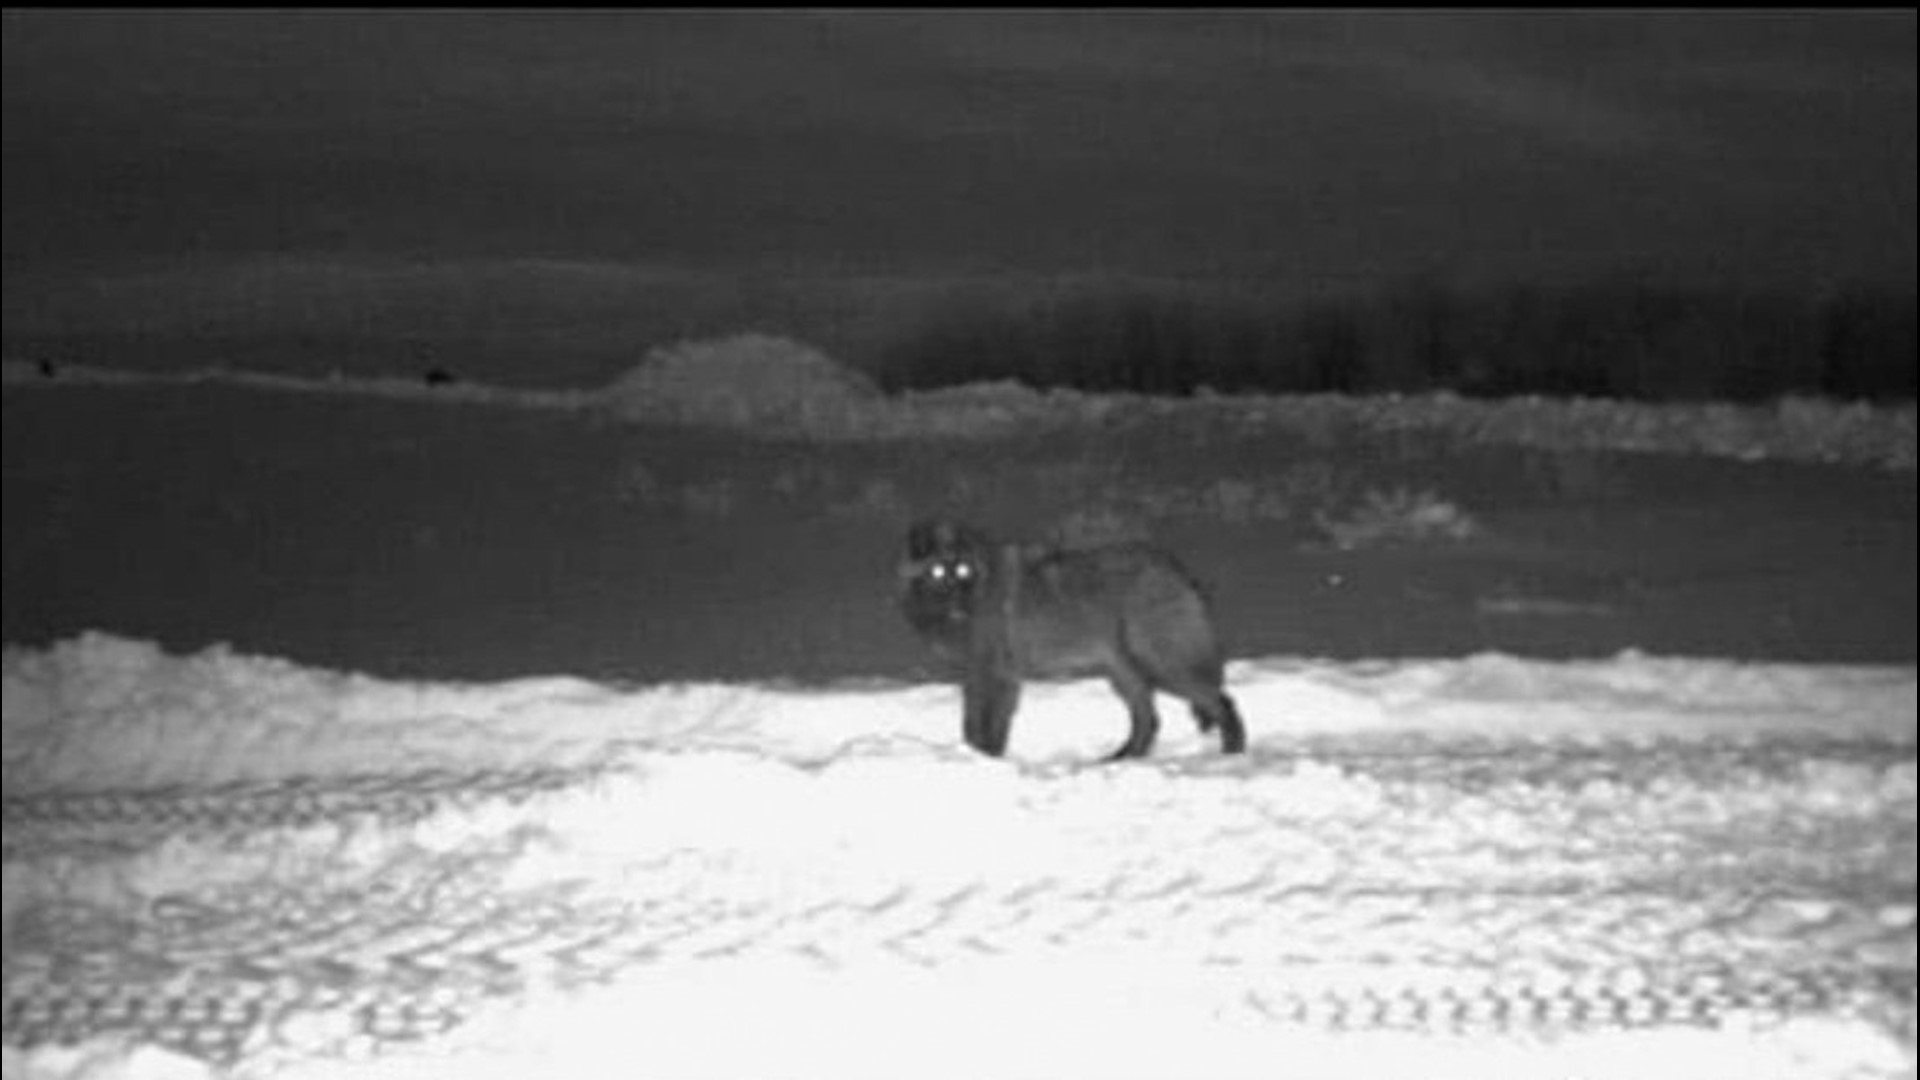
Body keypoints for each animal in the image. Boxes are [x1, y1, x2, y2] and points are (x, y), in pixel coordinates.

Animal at [898, 518, 1247, 761]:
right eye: (938, 573)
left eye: (963, 571)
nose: (956, 605)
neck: (981, 590)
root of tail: (1175, 566)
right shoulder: (974, 676)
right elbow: (970, 724)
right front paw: (975, 755)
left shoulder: (999, 676)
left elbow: (991, 728)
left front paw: (989, 760)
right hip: (1124, 673)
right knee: (1148, 720)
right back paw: (1121, 760)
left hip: (1161, 665)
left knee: (1223, 703)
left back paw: (1231, 757)